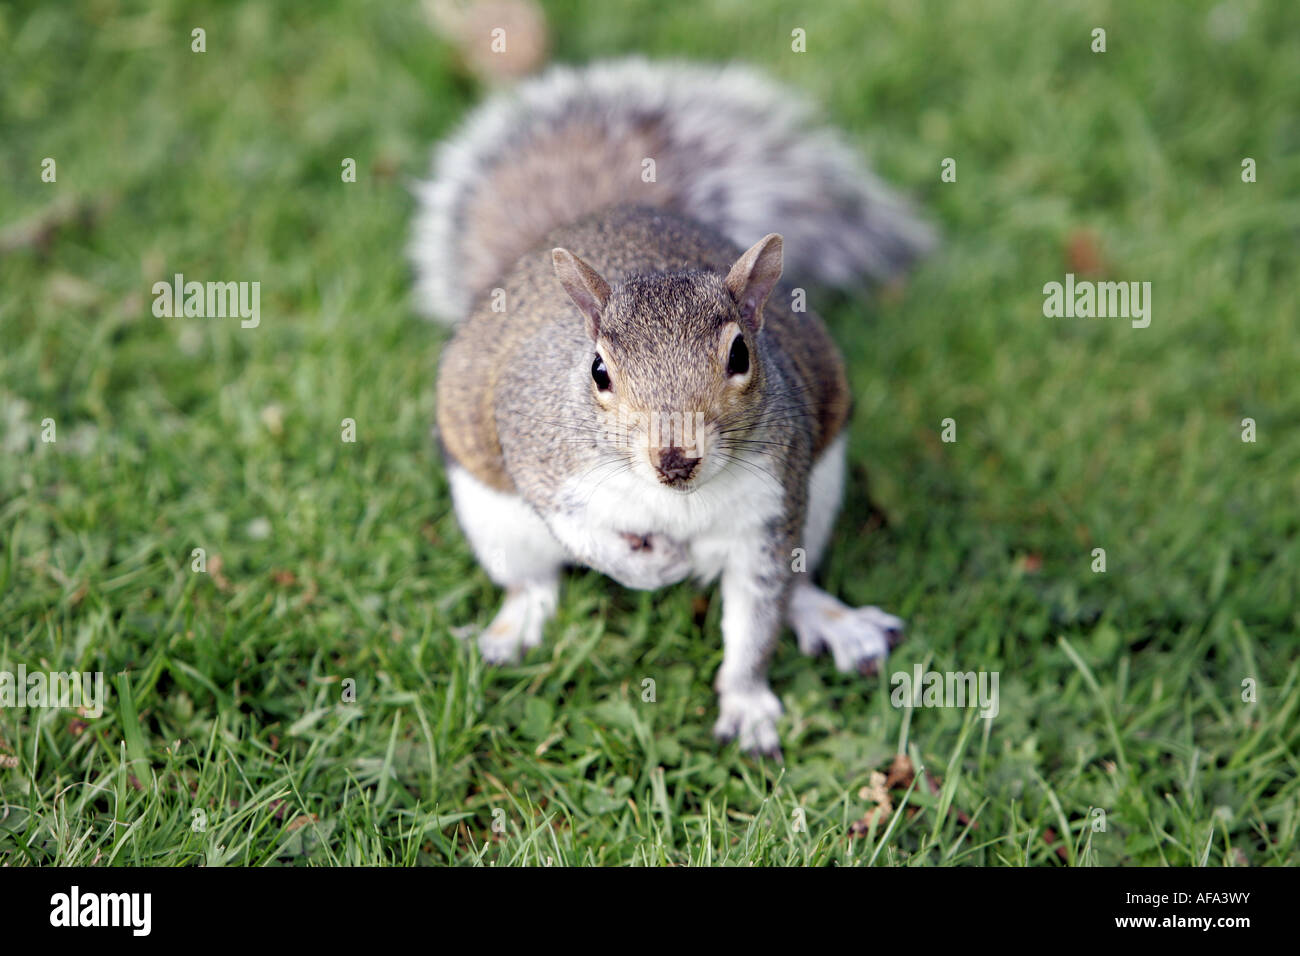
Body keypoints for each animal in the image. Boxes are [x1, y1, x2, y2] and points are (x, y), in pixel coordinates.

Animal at [411, 58, 931, 756]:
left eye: (741, 354)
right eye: (599, 371)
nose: (675, 458)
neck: (676, 503)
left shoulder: (771, 512)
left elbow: (757, 620)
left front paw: (747, 706)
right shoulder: (543, 457)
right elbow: (582, 533)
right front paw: (657, 567)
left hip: (820, 495)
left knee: (797, 586)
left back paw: (833, 619)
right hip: (495, 522)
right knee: (534, 582)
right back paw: (514, 628)